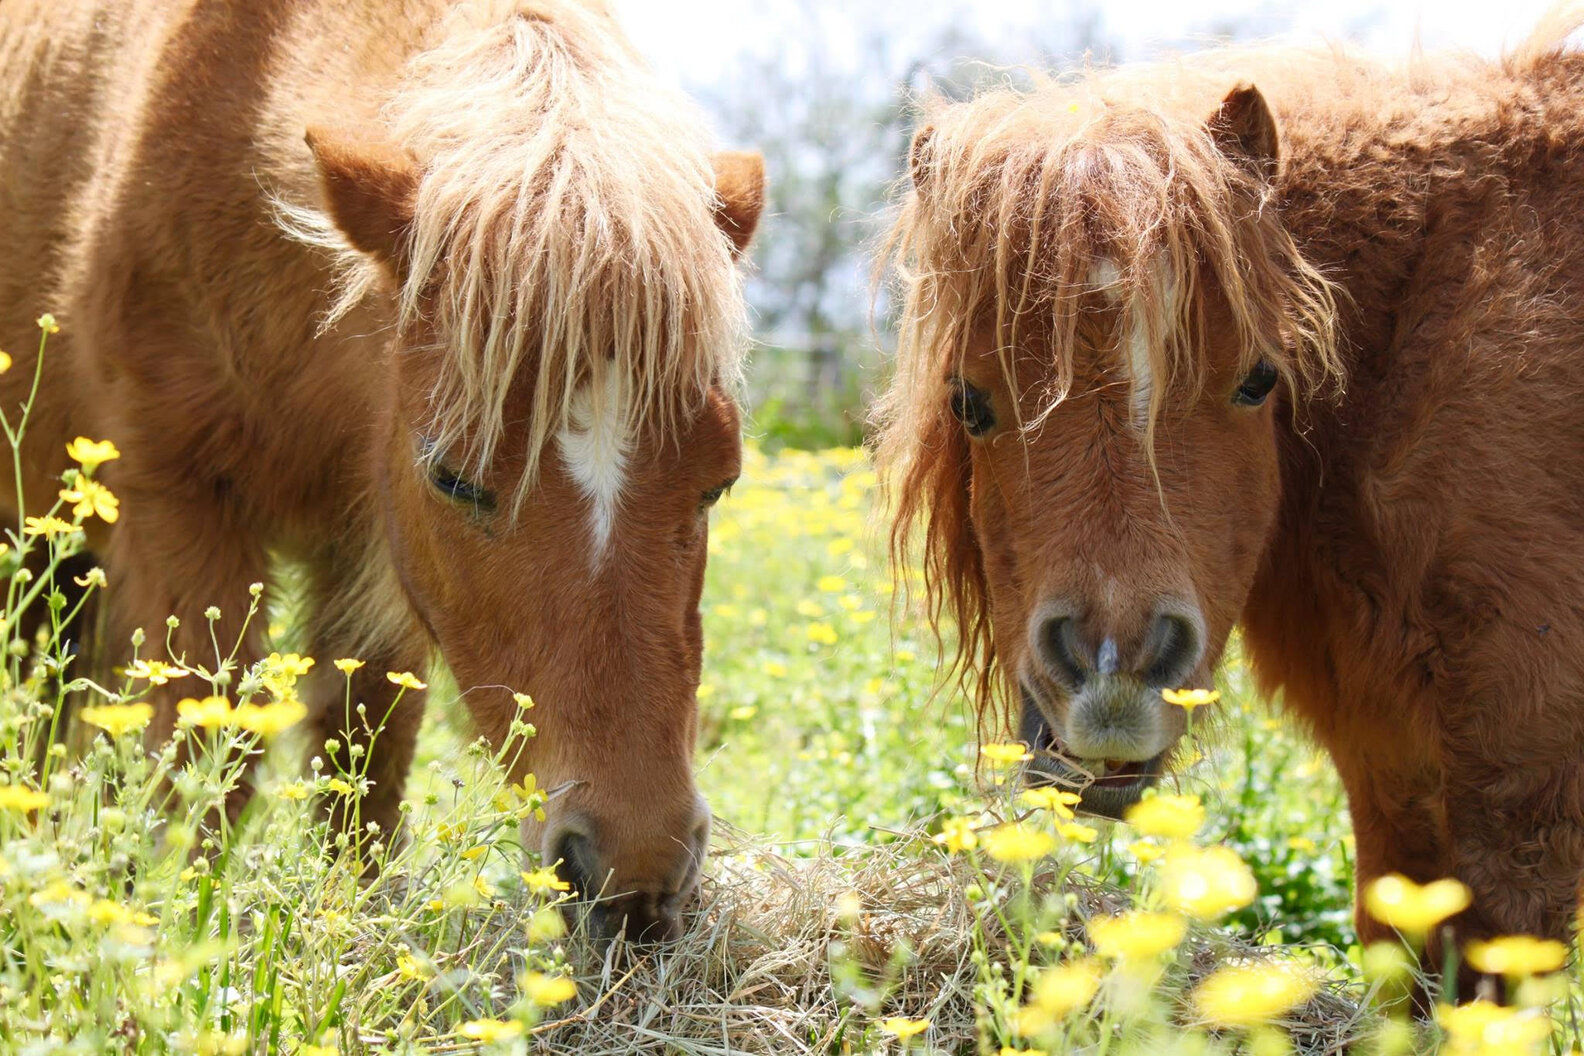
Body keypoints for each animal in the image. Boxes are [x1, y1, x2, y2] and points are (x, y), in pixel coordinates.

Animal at [0, 0, 763, 941]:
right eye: (455, 479)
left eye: (718, 482)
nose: (636, 872)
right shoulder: (179, 509)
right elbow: (207, 751)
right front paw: (185, 928)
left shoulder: (373, 557)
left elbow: (365, 757)